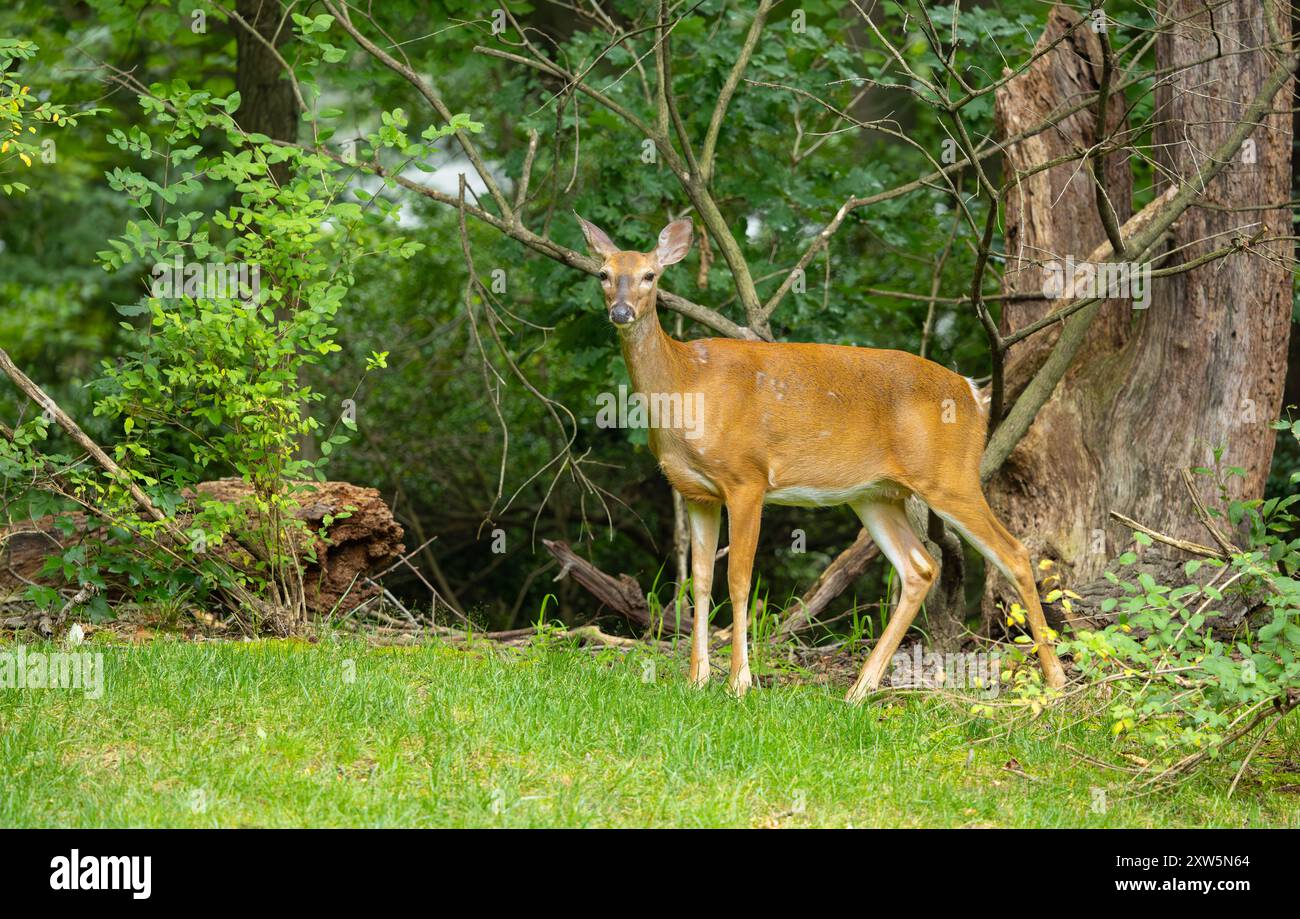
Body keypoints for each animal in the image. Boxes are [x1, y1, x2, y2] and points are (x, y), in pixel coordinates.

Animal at [575, 214, 1068, 703]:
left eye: (649, 275)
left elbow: (738, 579)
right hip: (876, 495)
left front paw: (739, 682)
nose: (621, 312)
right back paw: (860, 689)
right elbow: (698, 581)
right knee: (920, 568)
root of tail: (973, 393)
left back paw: (1056, 682)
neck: (683, 386)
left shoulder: (747, 477)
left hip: (950, 476)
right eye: (603, 274)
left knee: (1014, 552)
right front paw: (697, 679)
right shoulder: (696, 492)